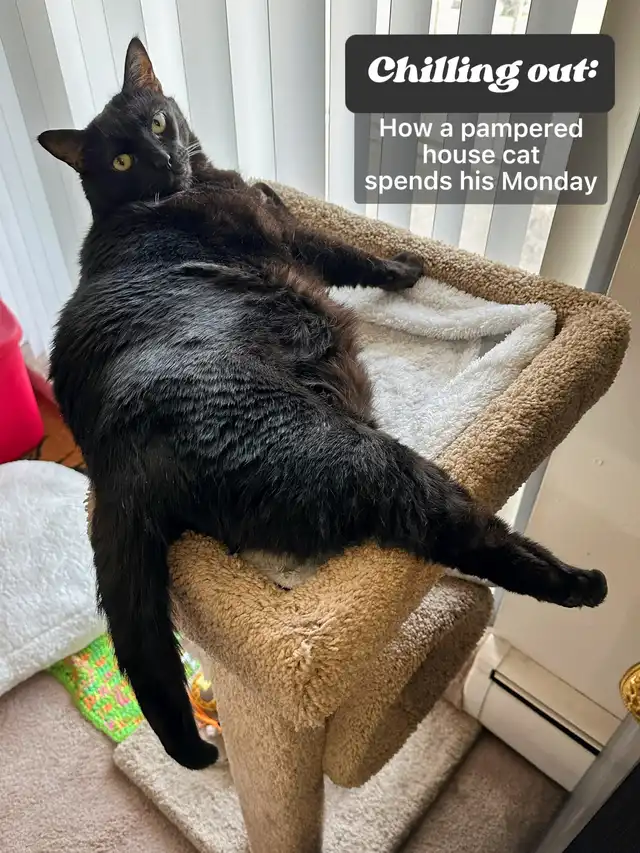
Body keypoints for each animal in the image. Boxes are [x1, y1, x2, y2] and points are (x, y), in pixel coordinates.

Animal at [39, 38, 607, 771]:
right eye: (121, 158)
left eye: (159, 122)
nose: (163, 159)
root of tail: (113, 466)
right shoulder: (286, 235)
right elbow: (349, 253)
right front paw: (407, 266)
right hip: (370, 462)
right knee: (464, 533)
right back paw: (582, 583)